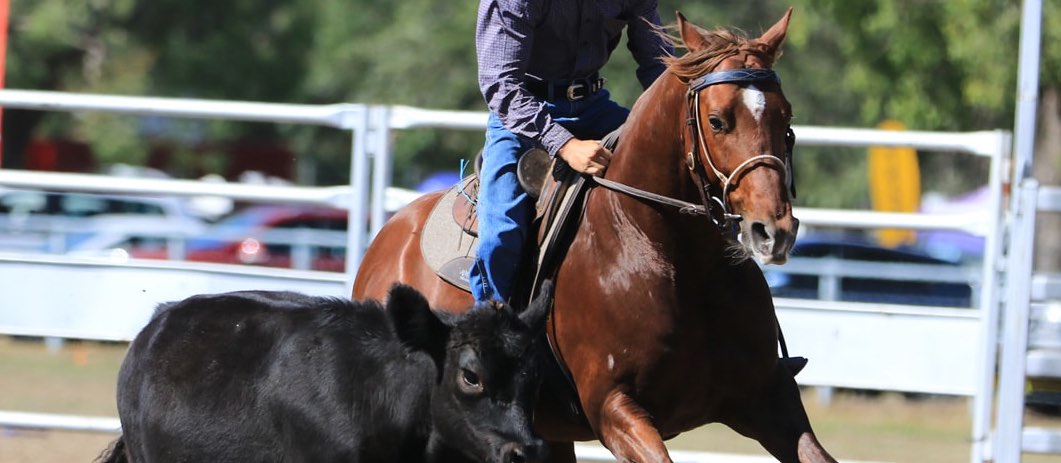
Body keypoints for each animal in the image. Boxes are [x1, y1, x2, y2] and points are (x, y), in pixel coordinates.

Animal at [354, 9, 837, 463]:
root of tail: (386, 242)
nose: (773, 230)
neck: (669, 255)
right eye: (717, 121)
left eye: (786, 116)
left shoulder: (768, 398)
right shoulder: (615, 409)